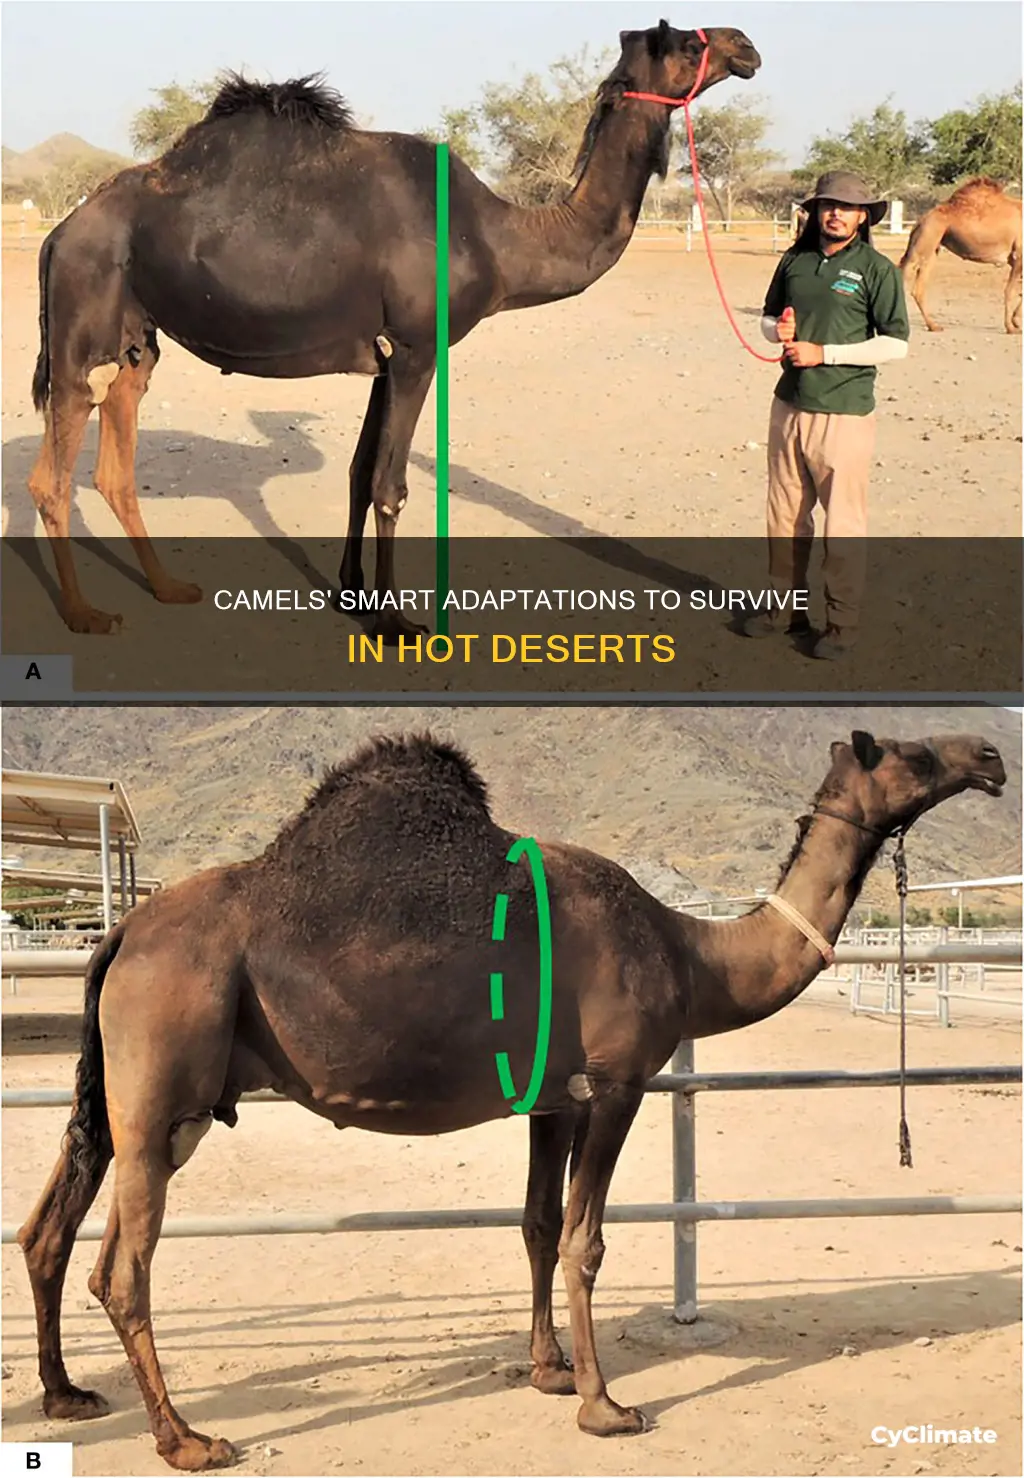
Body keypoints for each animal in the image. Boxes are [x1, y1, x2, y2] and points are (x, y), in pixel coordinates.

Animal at [17, 727, 1005, 1471]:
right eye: (913, 753)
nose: (992, 755)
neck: (689, 954)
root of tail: (120, 934)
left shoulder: (551, 1099)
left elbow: (535, 1225)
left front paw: (552, 1370)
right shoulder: (616, 1083)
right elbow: (586, 1239)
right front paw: (606, 1406)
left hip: (139, 1102)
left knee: (55, 1230)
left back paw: (68, 1395)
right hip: (164, 1070)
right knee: (124, 1266)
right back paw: (187, 1441)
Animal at [25, 22, 760, 642]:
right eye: (690, 43)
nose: (746, 46)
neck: (501, 237)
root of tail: (59, 233)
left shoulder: (384, 355)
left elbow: (358, 471)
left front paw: (354, 595)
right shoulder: (417, 348)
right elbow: (391, 484)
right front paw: (397, 621)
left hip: (137, 338)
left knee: (116, 451)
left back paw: (168, 586)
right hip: (79, 319)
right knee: (52, 472)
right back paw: (84, 613)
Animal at [900, 178, 1022, 333]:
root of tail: (921, 220)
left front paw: (1015, 322)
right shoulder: (1019, 256)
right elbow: (1009, 291)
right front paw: (1011, 327)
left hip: (933, 247)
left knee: (918, 288)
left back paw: (933, 326)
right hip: (927, 237)